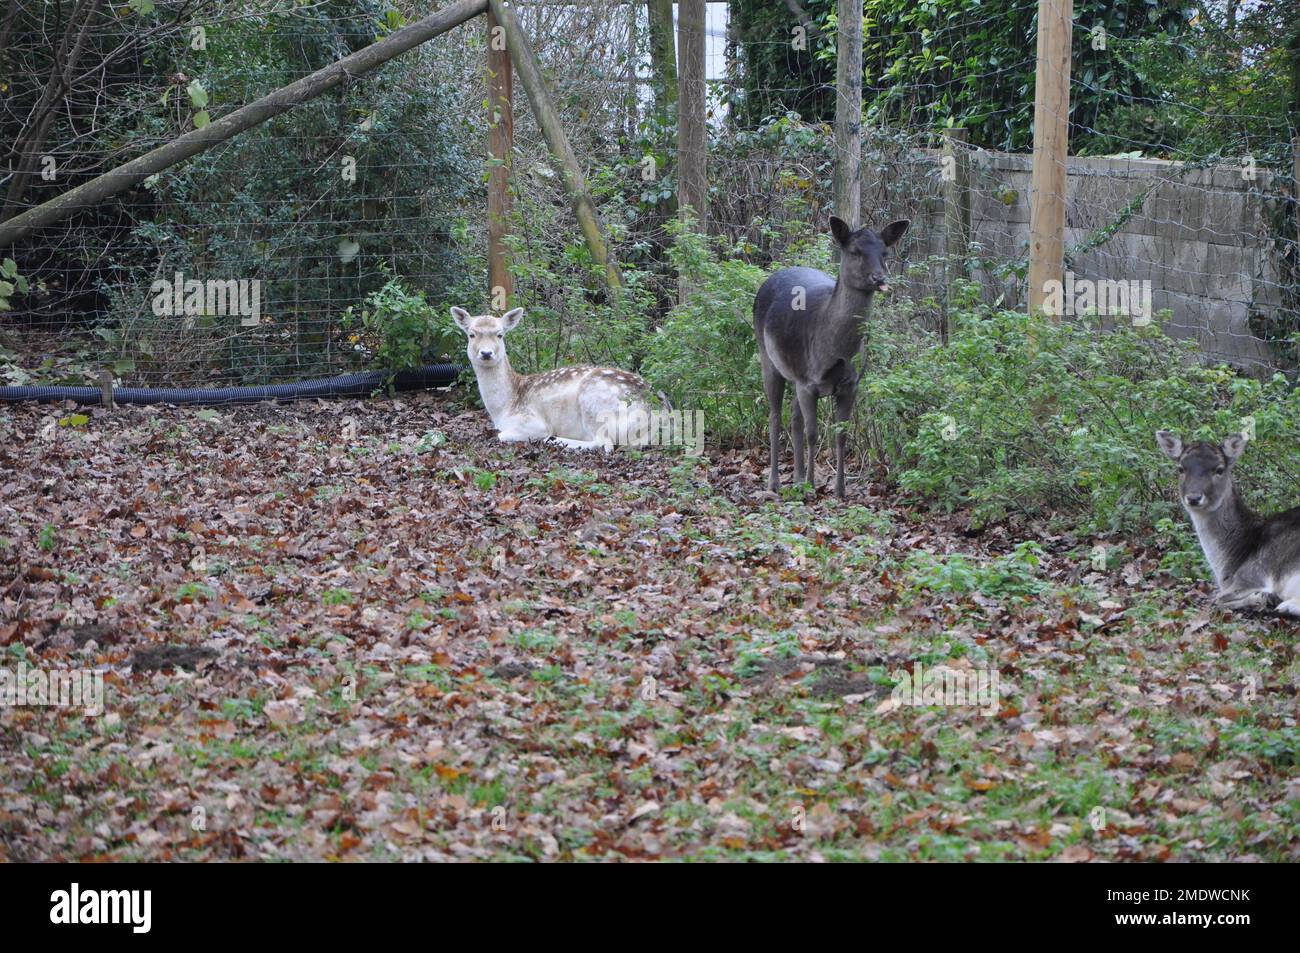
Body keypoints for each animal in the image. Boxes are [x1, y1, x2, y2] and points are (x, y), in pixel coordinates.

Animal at [451, 306, 656, 451]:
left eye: (500, 334)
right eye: (471, 334)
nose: (486, 353)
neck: (504, 407)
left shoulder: (534, 422)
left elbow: (500, 435)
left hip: (596, 406)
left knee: (603, 444)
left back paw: (555, 440)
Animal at [754, 216, 909, 499]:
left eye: (885, 253)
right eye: (855, 251)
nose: (879, 277)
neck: (835, 350)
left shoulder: (850, 384)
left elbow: (841, 435)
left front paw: (839, 489)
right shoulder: (808, 382)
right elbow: (813, 433)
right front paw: (812, 487)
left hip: (795, 375)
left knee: (794, 418)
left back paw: (797, 478)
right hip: (767, 357)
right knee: (775, 416)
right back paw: (775, 483)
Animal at [1156, 430, 1300, 616]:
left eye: (1219, 469)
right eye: (1181, 468)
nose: (1194, 498)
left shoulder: (1253, 575)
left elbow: (1218, 598)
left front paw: (1263, 598)